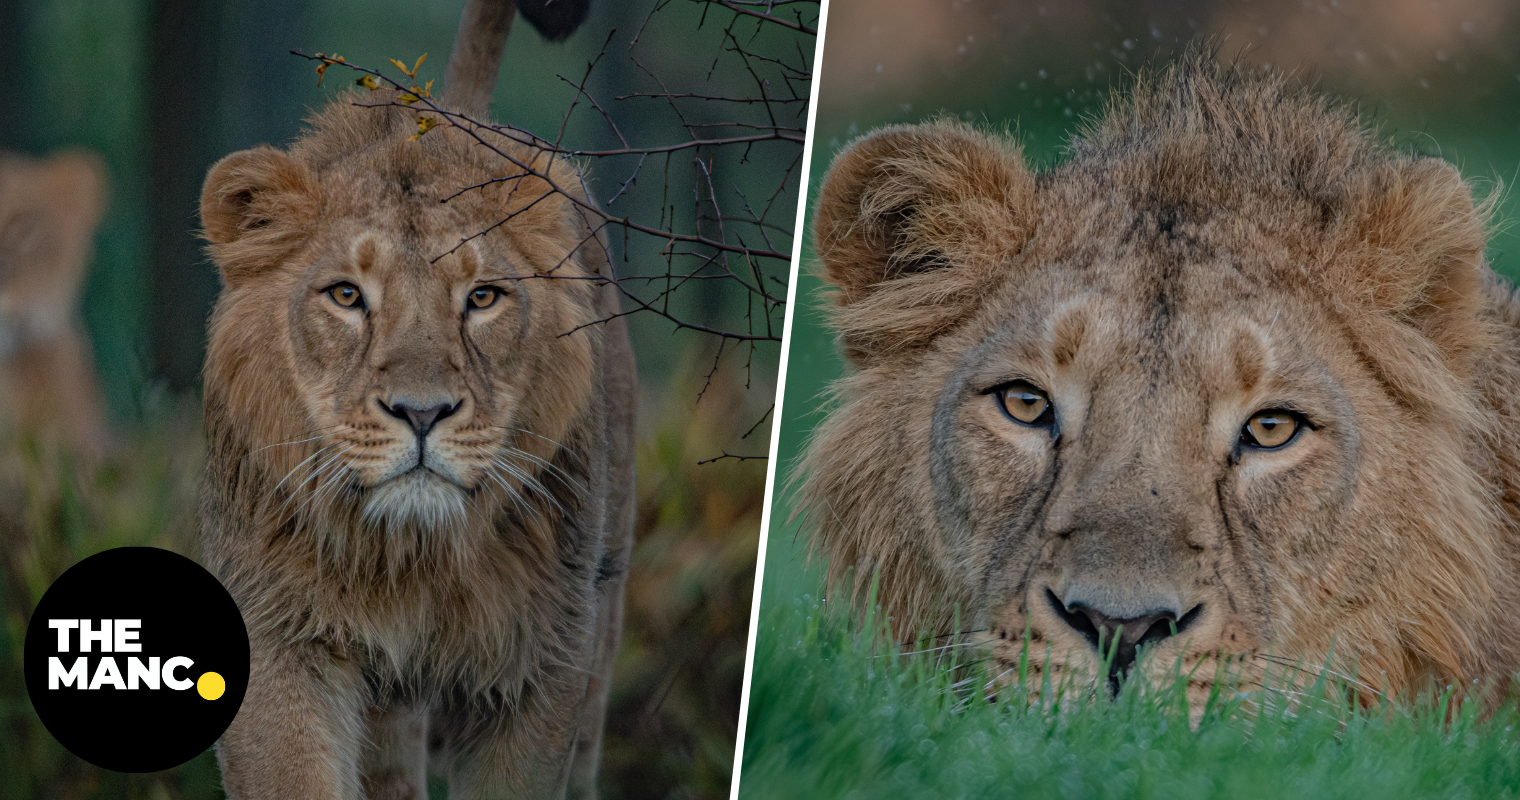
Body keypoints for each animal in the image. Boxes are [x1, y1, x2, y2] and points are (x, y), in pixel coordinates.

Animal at [197, 2, 633, 797]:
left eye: (483, 298)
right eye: (346, 296)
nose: (422, 413)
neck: (408, 559)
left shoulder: (544, 658)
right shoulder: (278, 636)